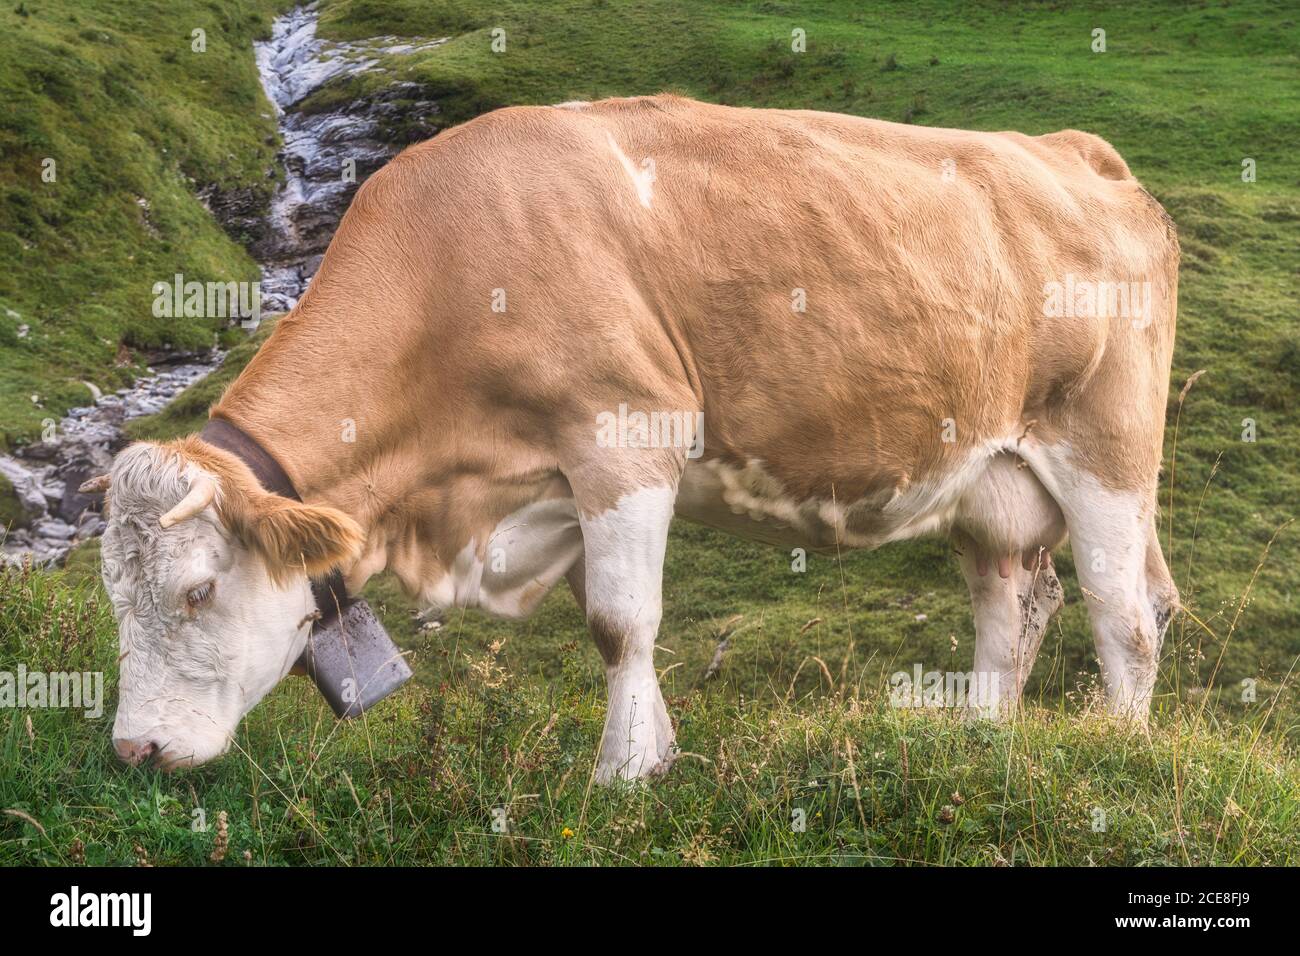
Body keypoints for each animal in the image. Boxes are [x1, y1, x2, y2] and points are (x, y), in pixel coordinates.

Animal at [90, 94, 1179, 780]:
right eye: (114, 598)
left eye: (198, 590)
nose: (136, 750)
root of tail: (1074, 150)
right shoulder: (564, 484)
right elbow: (609, 621)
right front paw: (657, 760)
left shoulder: (625, 437)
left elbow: (621, 623)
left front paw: (614, 780)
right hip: (990, 473)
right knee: (1017, 602)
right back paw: (981, 741)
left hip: (1109, 448)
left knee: (1125, 615)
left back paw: (1120, 751)